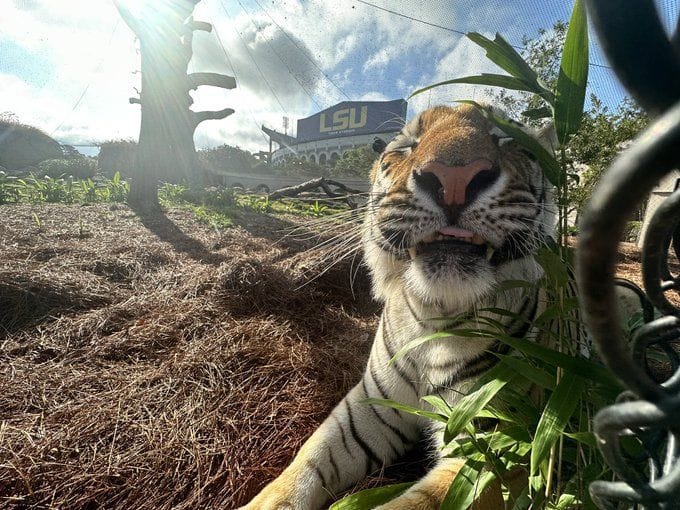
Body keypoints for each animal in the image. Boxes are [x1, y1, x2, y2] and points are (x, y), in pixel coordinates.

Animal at [238, 103, 556, 510]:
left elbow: (419, 502)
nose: (454, 177)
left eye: (504, 137)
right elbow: (306, 461)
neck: (434, 317)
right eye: (408, 146)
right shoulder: (367, 407)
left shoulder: (501, 445)